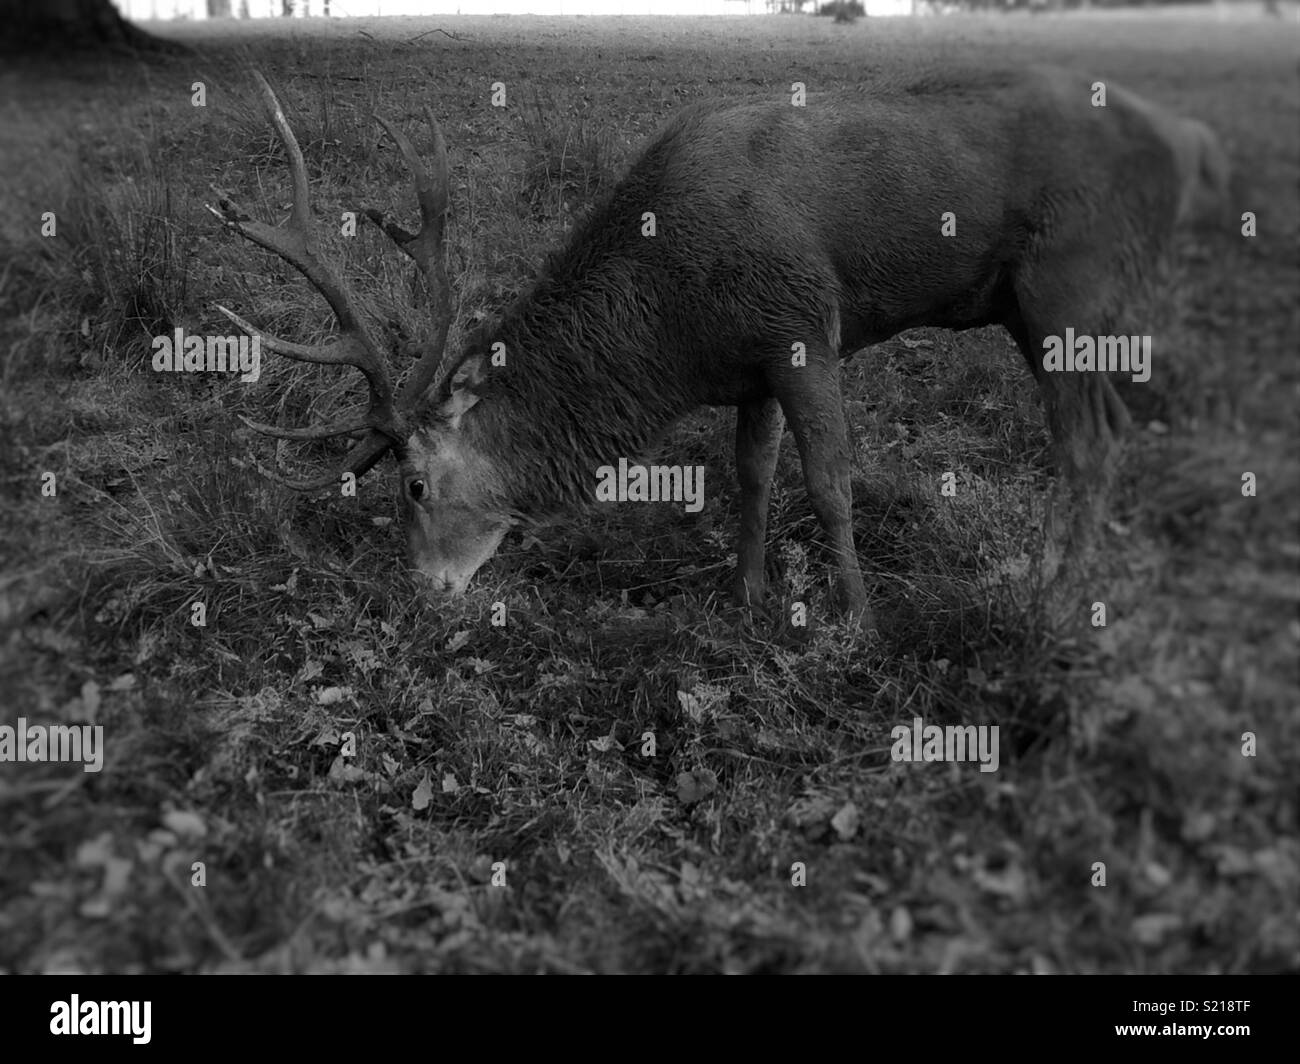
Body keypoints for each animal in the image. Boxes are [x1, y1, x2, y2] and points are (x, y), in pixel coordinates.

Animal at [210, 67, 1229, 628]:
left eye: (416, 486)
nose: (419, 592)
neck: (676, 325)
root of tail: (1192, 140)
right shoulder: (750, 365)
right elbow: (752, 474)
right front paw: (743, 596)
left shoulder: (804, 325)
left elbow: (829, 479)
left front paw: (855, 622)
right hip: (1034, 306)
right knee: (1109, 430)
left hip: (1070, 283)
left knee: (1089, 439)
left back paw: (1051, 601)